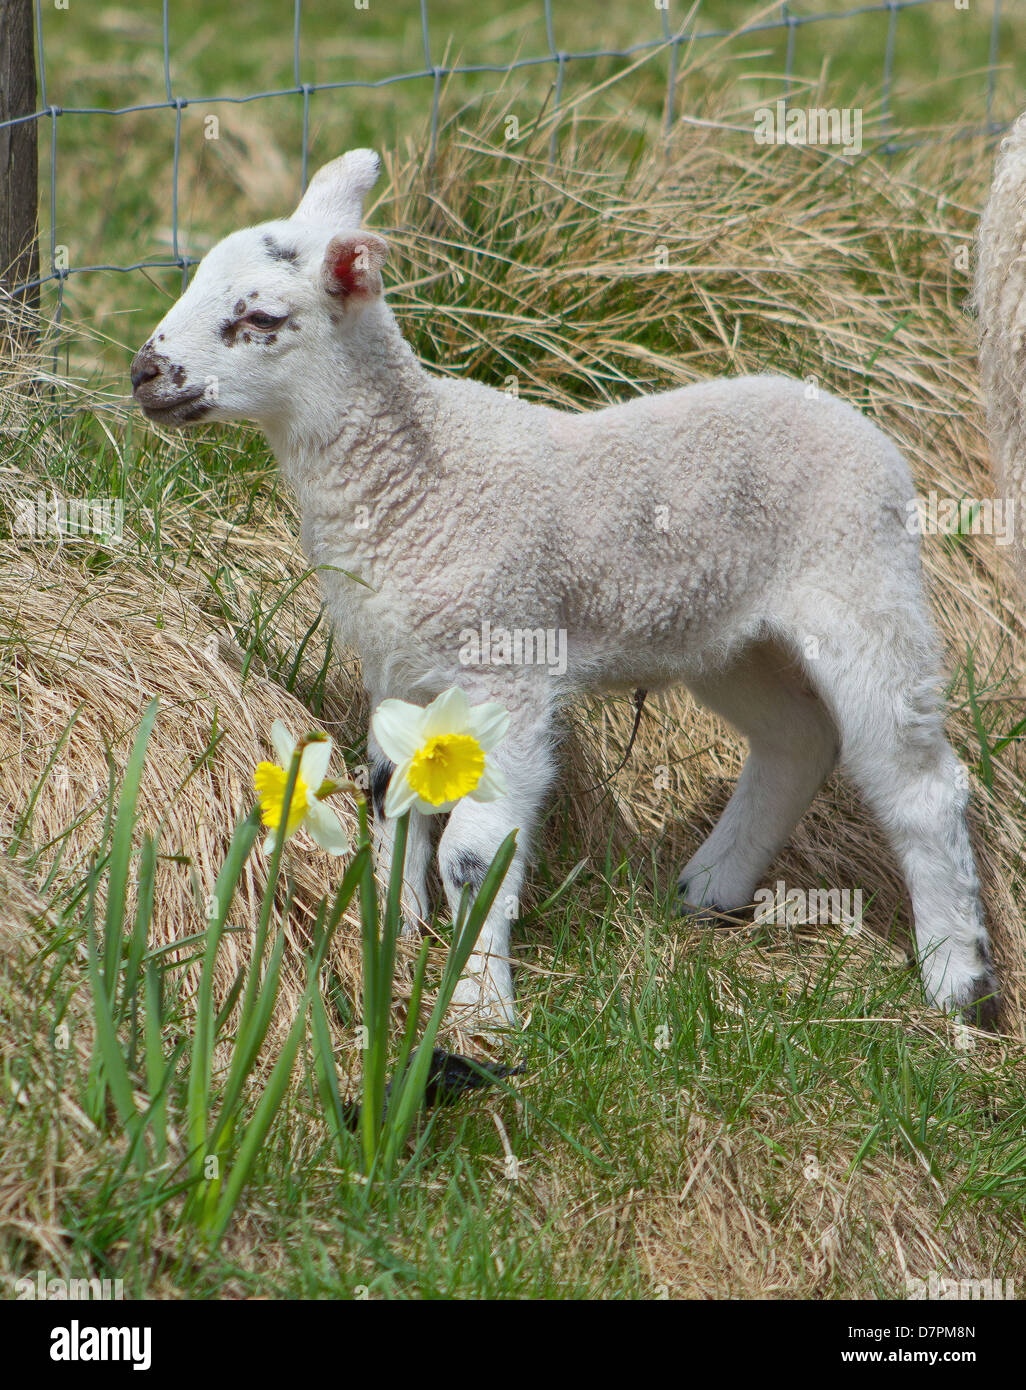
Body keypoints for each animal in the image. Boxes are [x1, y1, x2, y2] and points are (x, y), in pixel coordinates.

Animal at [130, 148, 999, 1032]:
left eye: (260, 317)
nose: (144, 374)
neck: (417, 474)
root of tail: (851, 416)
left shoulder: (505, 659)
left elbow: (474, 851)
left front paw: (480, 1004)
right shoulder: (395, 665)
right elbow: (389, 800)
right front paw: (392, 932)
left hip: (864, 585)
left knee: (920, 783)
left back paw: (958, 981)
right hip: (728, 635)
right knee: (797, 740)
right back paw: (708, 890)